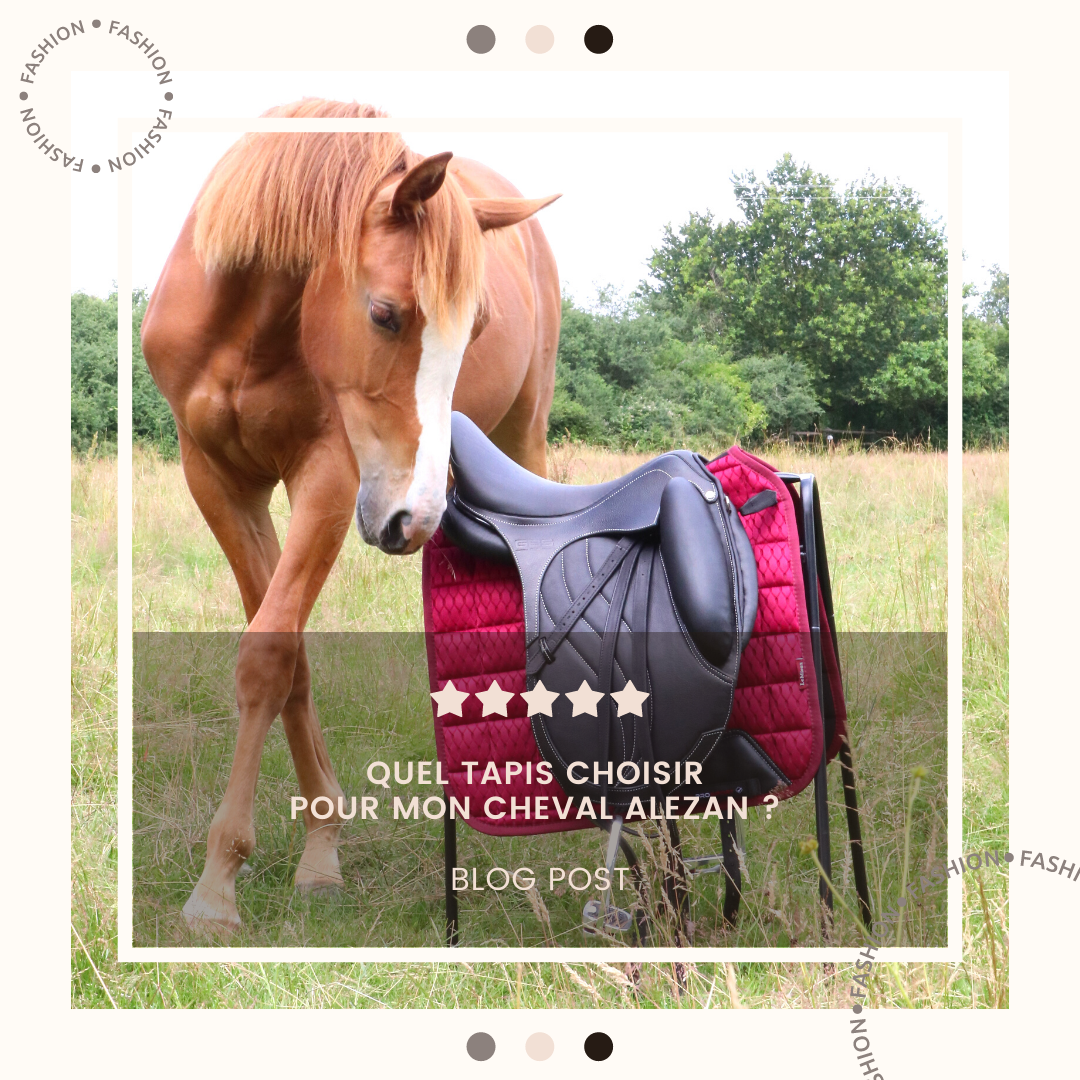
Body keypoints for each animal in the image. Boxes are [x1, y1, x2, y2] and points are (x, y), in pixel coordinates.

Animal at [141, 98, 562, 931]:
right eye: (385, 314)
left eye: (475, 328)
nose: (416, 517)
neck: (253, 324)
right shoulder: (218, 480)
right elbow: (287, 655)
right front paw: (320, 850)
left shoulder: (331, 480)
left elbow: (268, 655)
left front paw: (217, 885)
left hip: (521, 435)